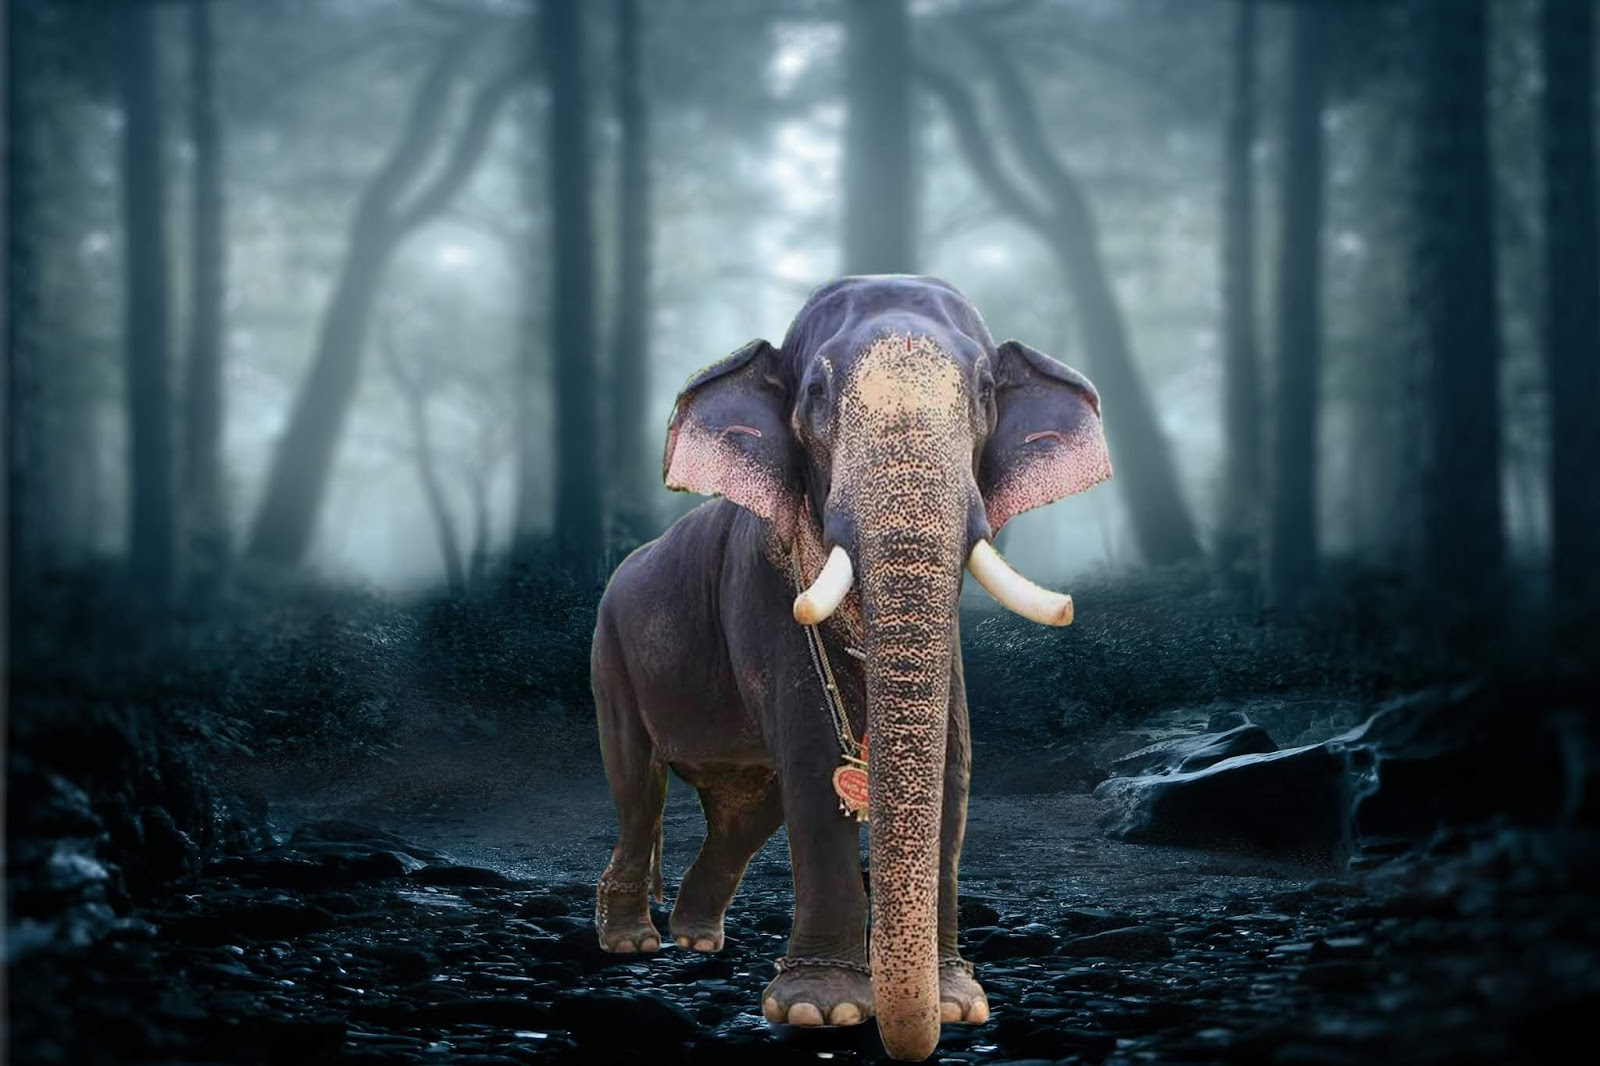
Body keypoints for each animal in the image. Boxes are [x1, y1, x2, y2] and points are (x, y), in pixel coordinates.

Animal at [590, 275, 1111, 1061]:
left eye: (987, 391)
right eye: (813, 394)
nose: (917, 1042)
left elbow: (954, 764)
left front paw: (958, 1005)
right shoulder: (760, 589)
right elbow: (812, 756)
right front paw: (820, 1010)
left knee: (744, 814)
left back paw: (698, 940)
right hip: (611, 656)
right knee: (639, 789)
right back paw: (631, 944)